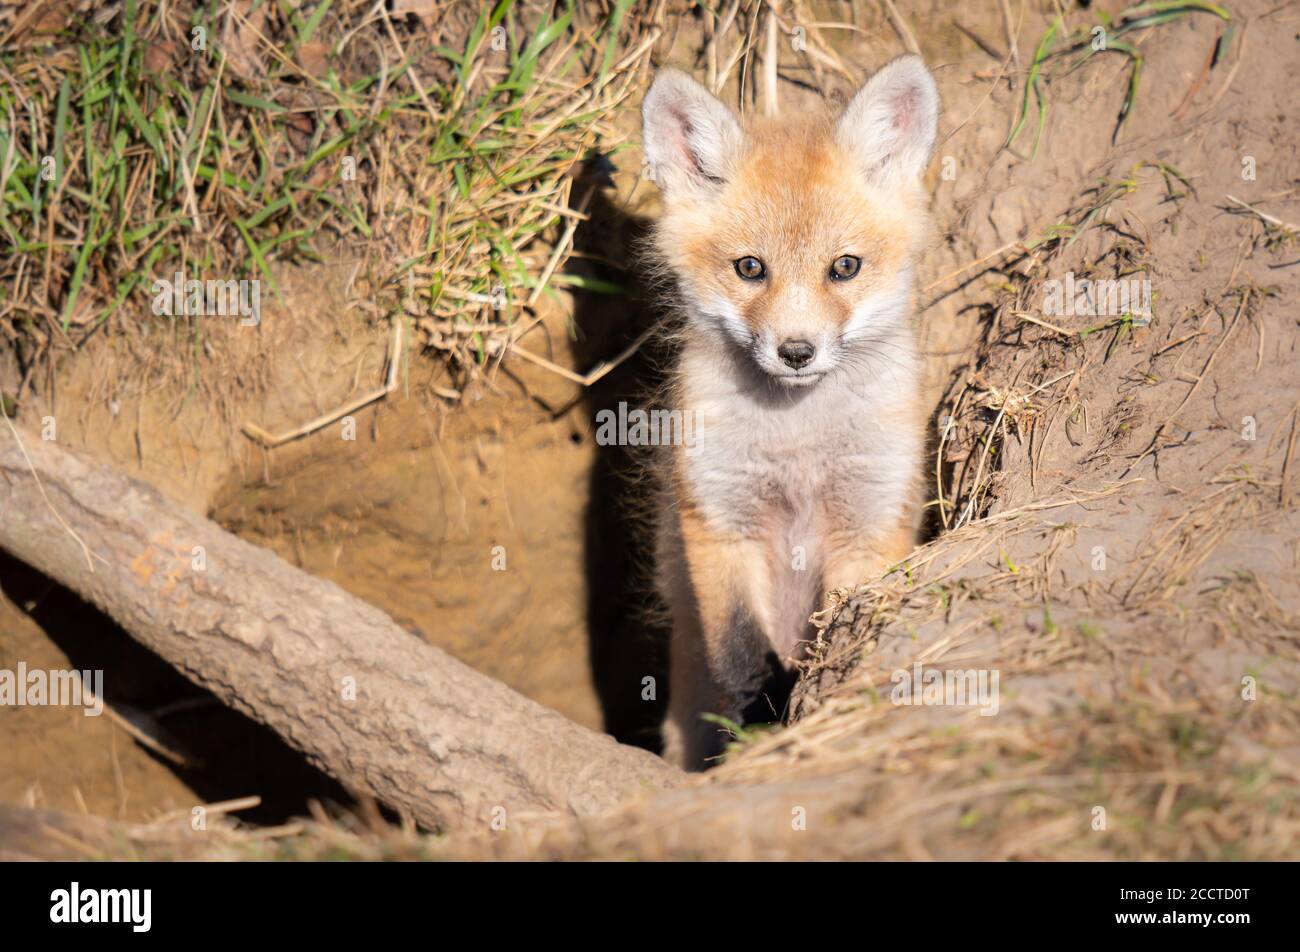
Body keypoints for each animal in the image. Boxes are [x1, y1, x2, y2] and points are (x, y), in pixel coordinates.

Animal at [640, 56, 939, 770]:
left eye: (844, 267)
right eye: (751, 268)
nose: (796, 352)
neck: (798, 447)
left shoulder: (870, 522)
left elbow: (845, 632)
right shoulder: (721, 521)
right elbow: (740, 655)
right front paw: (762, 716)